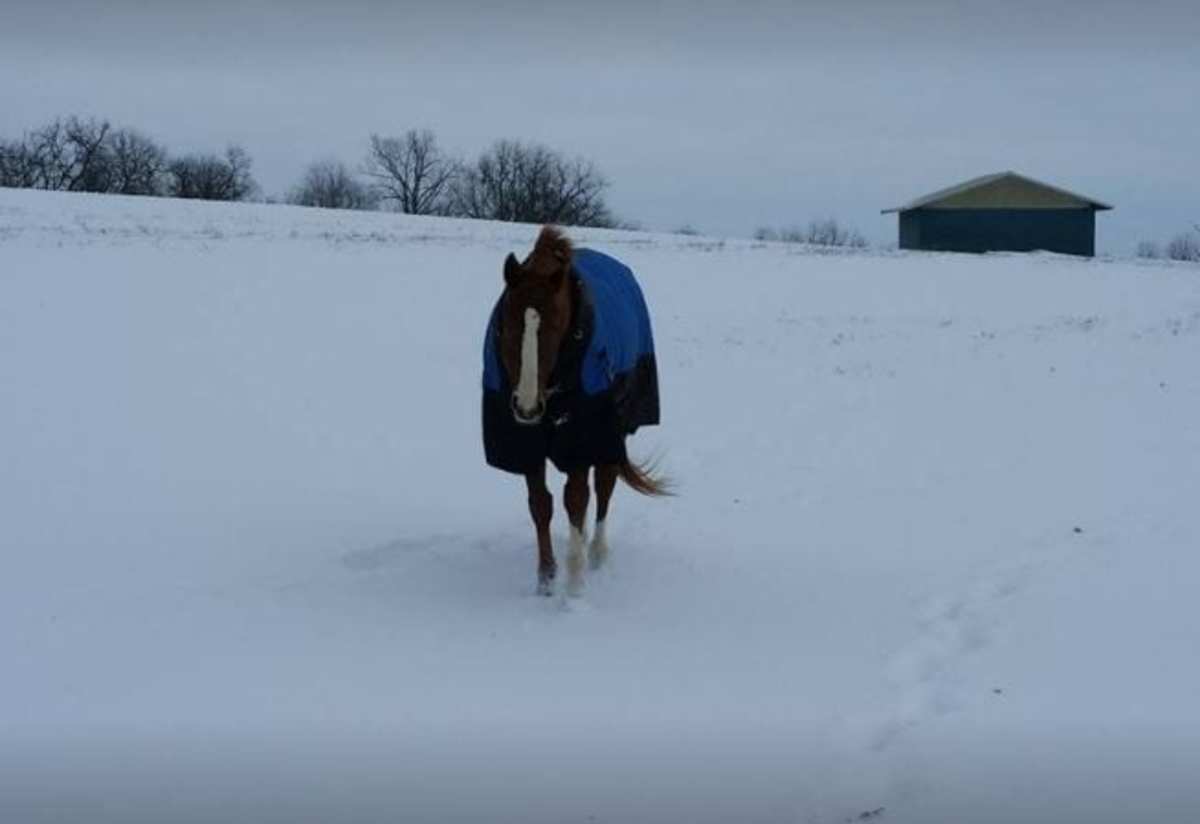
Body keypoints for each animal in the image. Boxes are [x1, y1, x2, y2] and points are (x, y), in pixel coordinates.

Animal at [482, 226, 667, 596]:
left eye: (555, 329)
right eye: (506, 325)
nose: (526, 407)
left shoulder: (582, 438)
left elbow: (576, 500)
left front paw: (574, 585)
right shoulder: (527, 445)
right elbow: (541, 504)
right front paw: (546, 580)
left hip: (610, 432)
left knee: (604, 487)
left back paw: (595, 554)